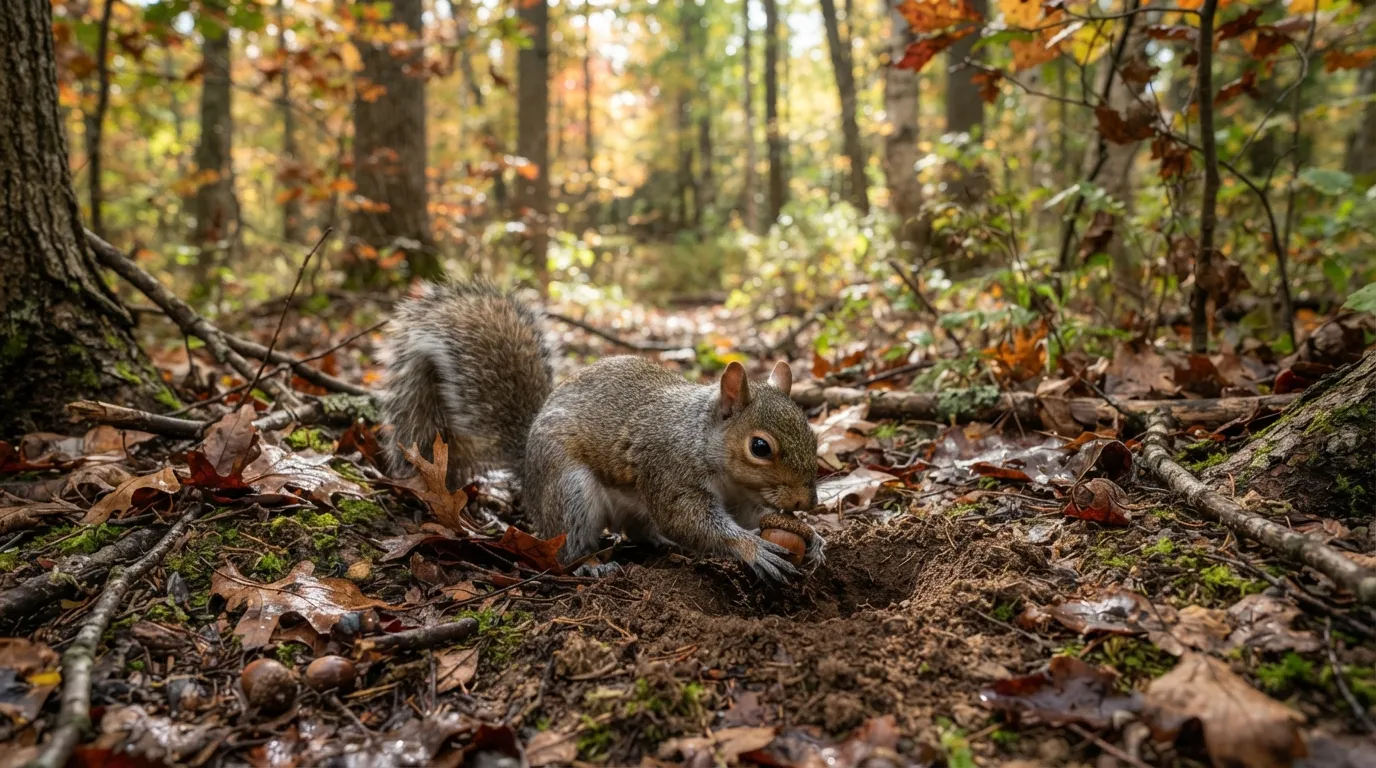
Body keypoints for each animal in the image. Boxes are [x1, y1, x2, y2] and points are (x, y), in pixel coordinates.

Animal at [380, 281, 823, 581]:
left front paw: (813, 537)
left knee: (638, 529)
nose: (808, 501)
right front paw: (751, 548)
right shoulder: (669, 469)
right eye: (760, 447)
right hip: (570, 491)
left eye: (813, 434)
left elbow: (752, 517)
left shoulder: (743, 500)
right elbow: (689, 520)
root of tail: (528, 471)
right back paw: (591, 565)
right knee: (567, 547)